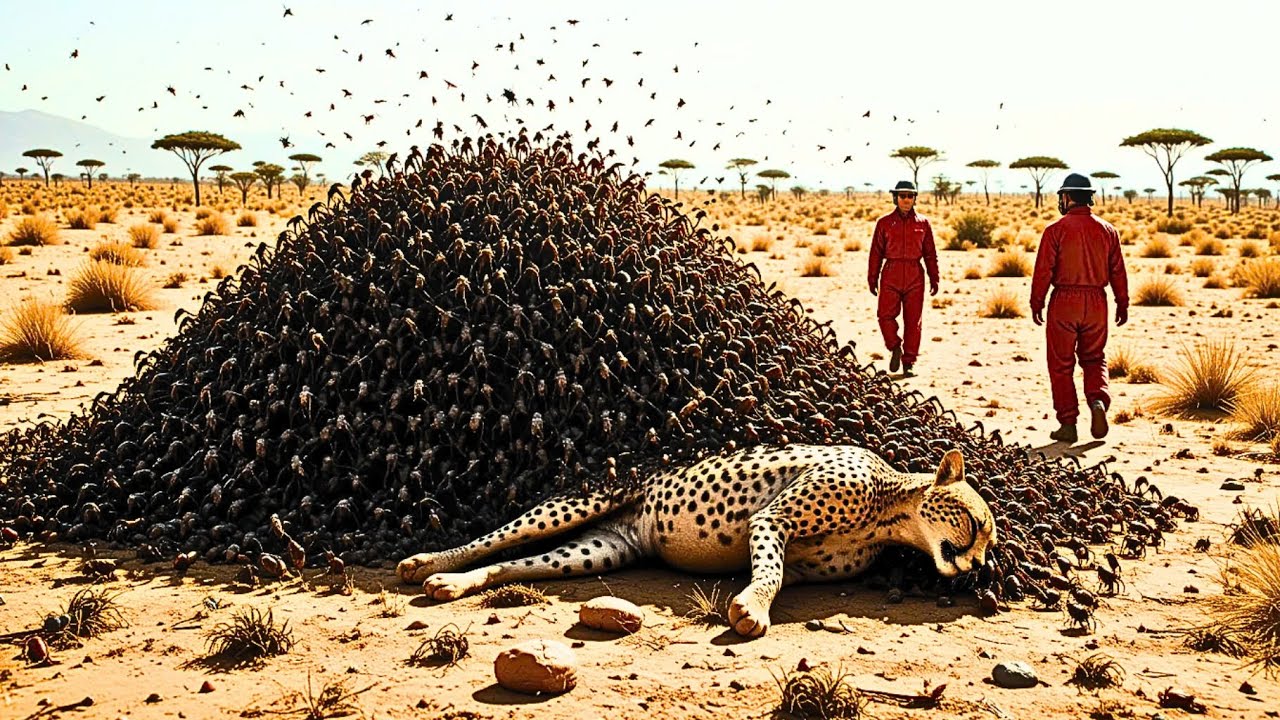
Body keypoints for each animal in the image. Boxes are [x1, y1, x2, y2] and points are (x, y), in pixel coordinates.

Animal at [397, 443, 996, 637]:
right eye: (975, 526)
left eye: (988, 543)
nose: (976, 567)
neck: (890, 510)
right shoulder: (771, 519)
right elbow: (769, 572)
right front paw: (752, 610)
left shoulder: (794, 553)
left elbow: (777, 572)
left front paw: (753, 603)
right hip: (575, 505)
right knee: (494, 541)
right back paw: (427, 561)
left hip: (595, 552)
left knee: (516, 565)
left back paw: (452, 584)